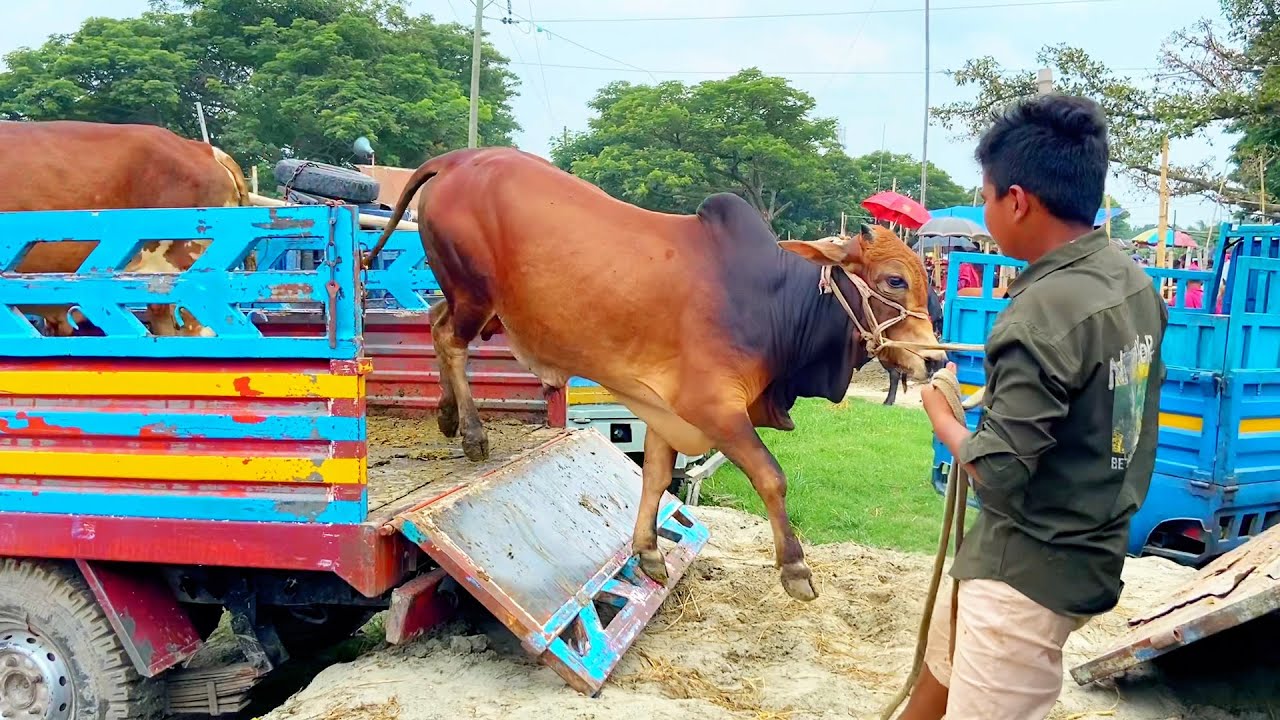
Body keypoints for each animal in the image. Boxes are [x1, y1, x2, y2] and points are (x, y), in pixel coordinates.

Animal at [362, 147, 947, 602]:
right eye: (894, 280)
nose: (936, 360)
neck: (770, 301)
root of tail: (454, 159)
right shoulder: (715, 408)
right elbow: (770, 476)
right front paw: (795, 569)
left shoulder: (663, 409)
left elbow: (657, 477)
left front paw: (647, 552)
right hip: (475, 294)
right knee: (448, 338)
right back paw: (472, 433)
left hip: (474, 302)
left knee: (435, 324)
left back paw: (445, 416)